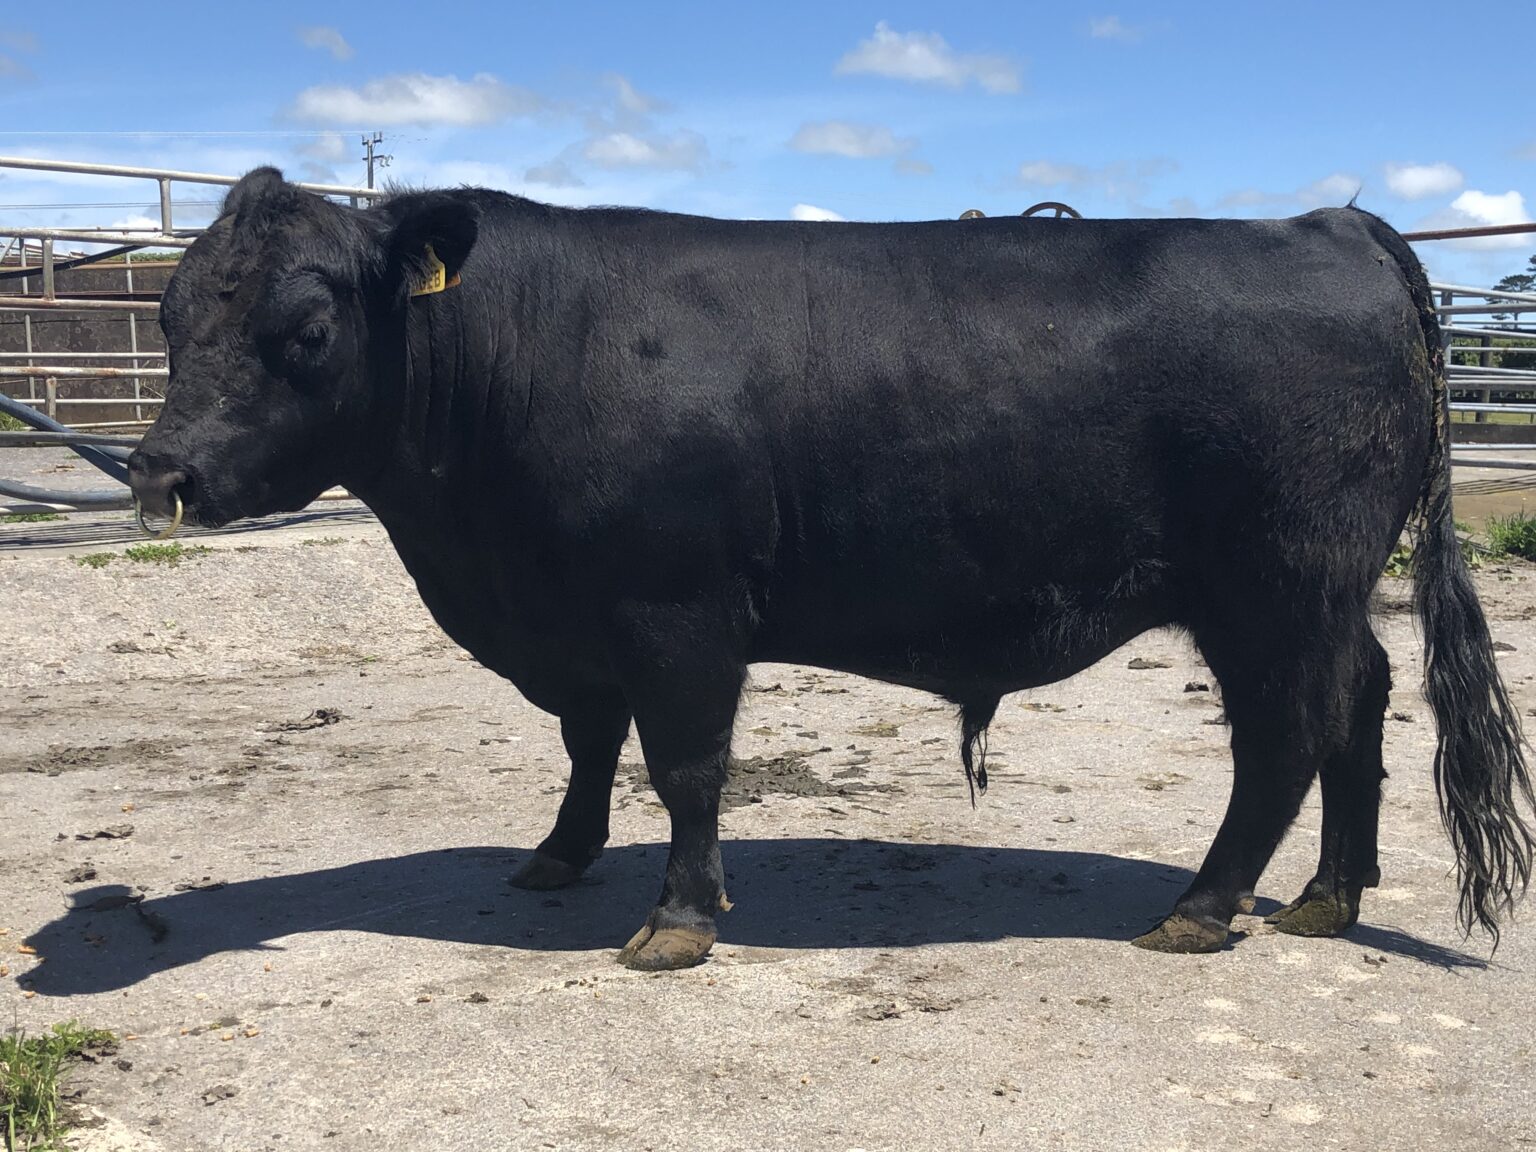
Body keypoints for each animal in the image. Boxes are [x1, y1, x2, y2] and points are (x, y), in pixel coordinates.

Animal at [128, 167, 1534, 970]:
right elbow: (587, 742)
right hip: (1321, 589)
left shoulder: (676, 607)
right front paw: (559, 855)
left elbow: (684, 765)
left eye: (307, 328)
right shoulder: (577, 617)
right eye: (168, 312)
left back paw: (1206, 905)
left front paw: (678, 920)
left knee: (1289, 731)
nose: (160, 472)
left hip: (1274, 583)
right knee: (1361, 703)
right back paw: (1327, 898)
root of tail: (1331, 223)